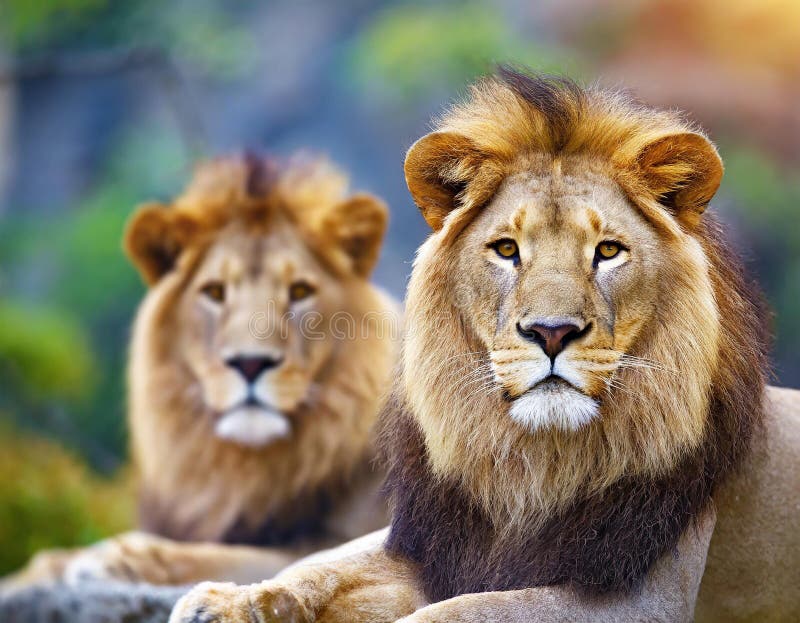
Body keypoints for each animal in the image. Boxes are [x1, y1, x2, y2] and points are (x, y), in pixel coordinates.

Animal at [2, 153, 400, 591]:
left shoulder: (337, 539)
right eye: (214, 292)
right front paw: (41, 569)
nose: (250, 363)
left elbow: (218, 555)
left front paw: (116, 556)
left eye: (299, 291)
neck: (245, 466)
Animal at [169, 70, 800, 623]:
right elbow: (329, 573)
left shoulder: (641, 599)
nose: (551, 332)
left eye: (608, 251)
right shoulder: (438, 547)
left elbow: (455, 613)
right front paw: (235, 602)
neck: (530, 466)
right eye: (506, 249)